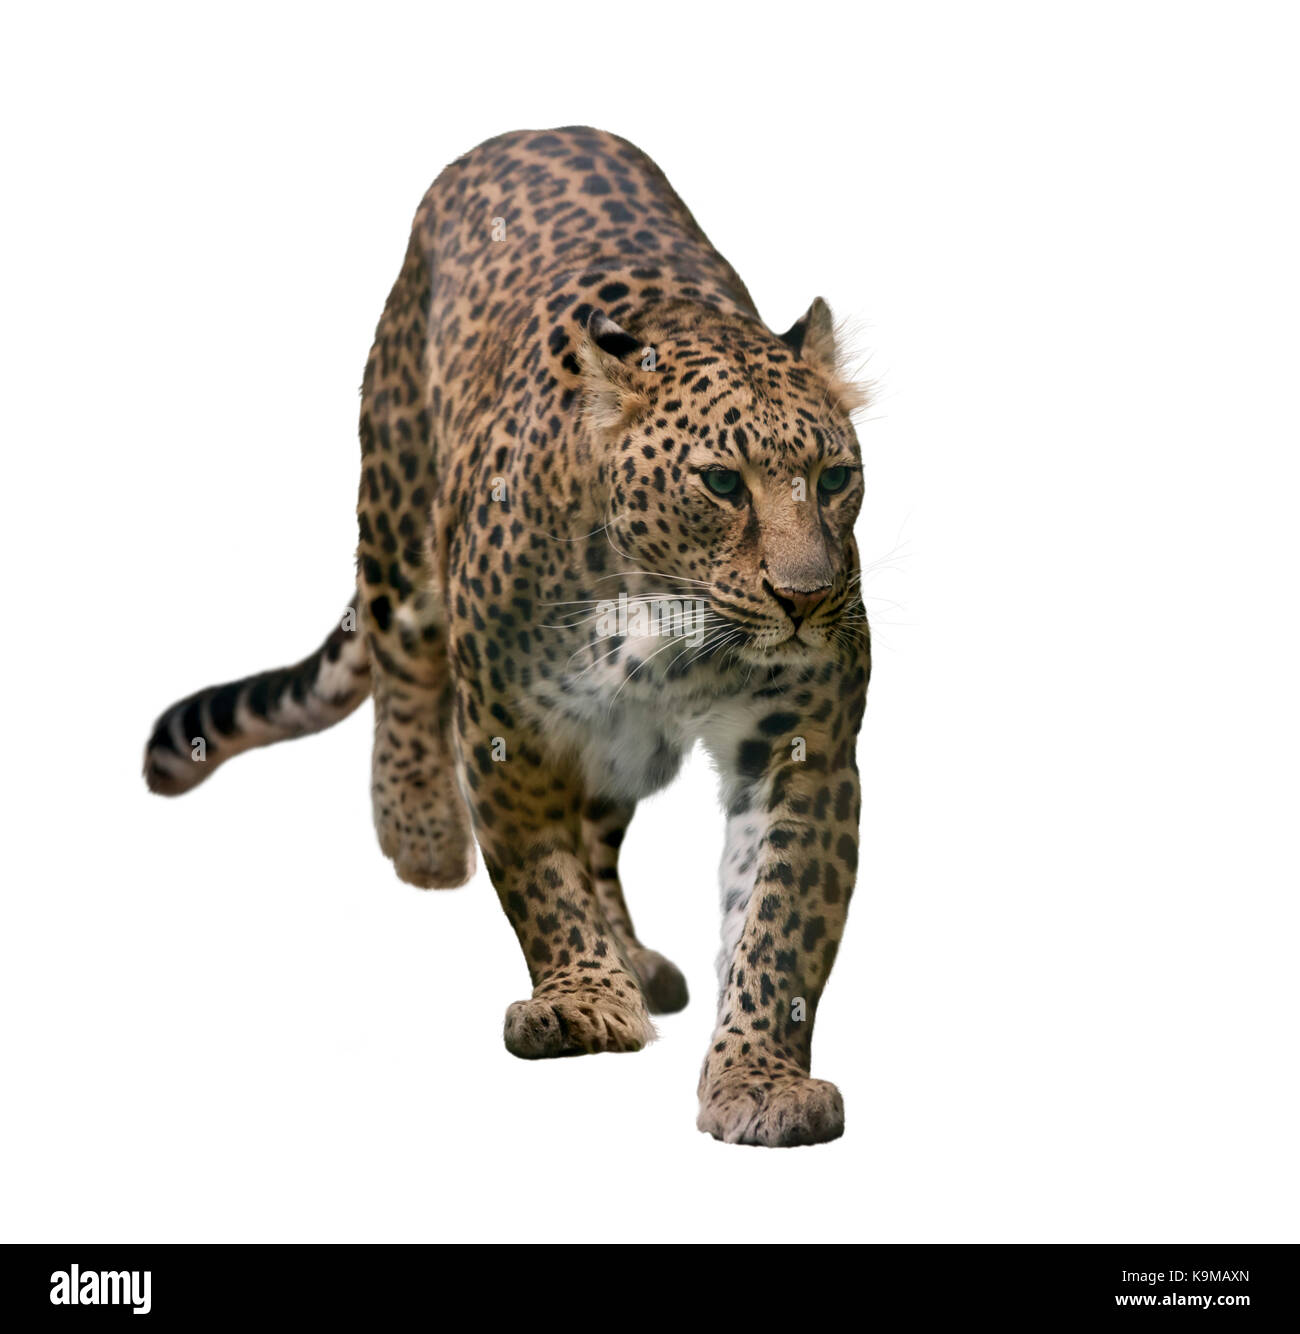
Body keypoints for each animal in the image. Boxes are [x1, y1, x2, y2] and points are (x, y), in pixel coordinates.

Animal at [143, 127, 872, 1147]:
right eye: (723, 484)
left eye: (836, 477)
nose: (807, 598)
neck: (669, 620)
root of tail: (533, 129)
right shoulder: (506, 727)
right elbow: (539, 879)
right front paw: (583, 1000)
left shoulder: (803, 746)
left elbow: (779, 924)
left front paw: (760, 1080)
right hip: (399, 502)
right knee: (401, 657)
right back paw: (419, 831)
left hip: (616, 740)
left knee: (599, 829)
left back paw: (633, 953)